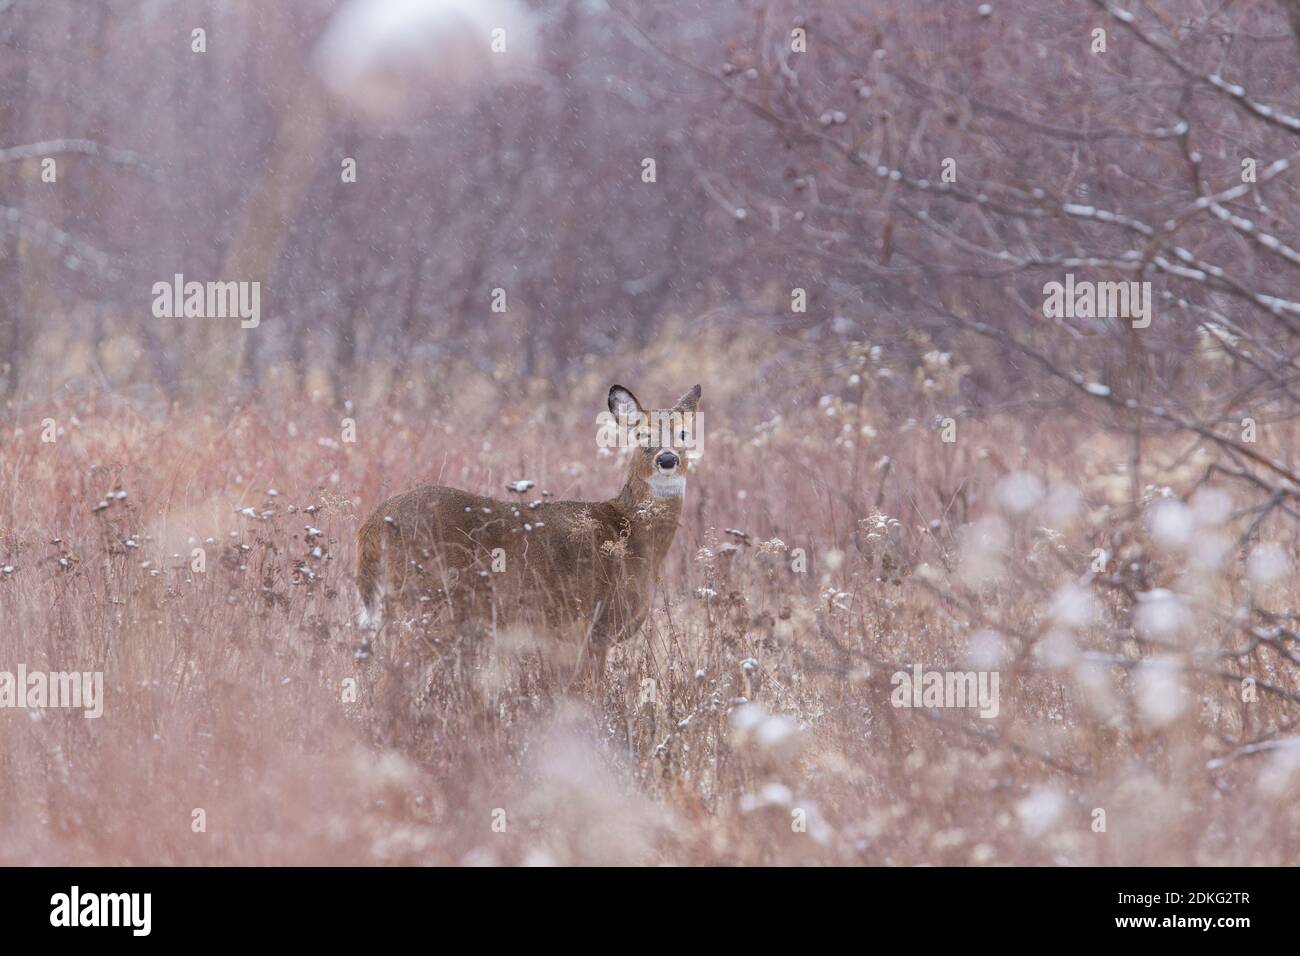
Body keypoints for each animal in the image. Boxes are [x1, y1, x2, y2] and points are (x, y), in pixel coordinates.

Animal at [355, 383, 701, 684]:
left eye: (685, 433)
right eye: (643, 434)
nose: (667, 459)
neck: (632, 537)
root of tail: (370, 527)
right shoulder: (591, 626)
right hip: (427, 603)